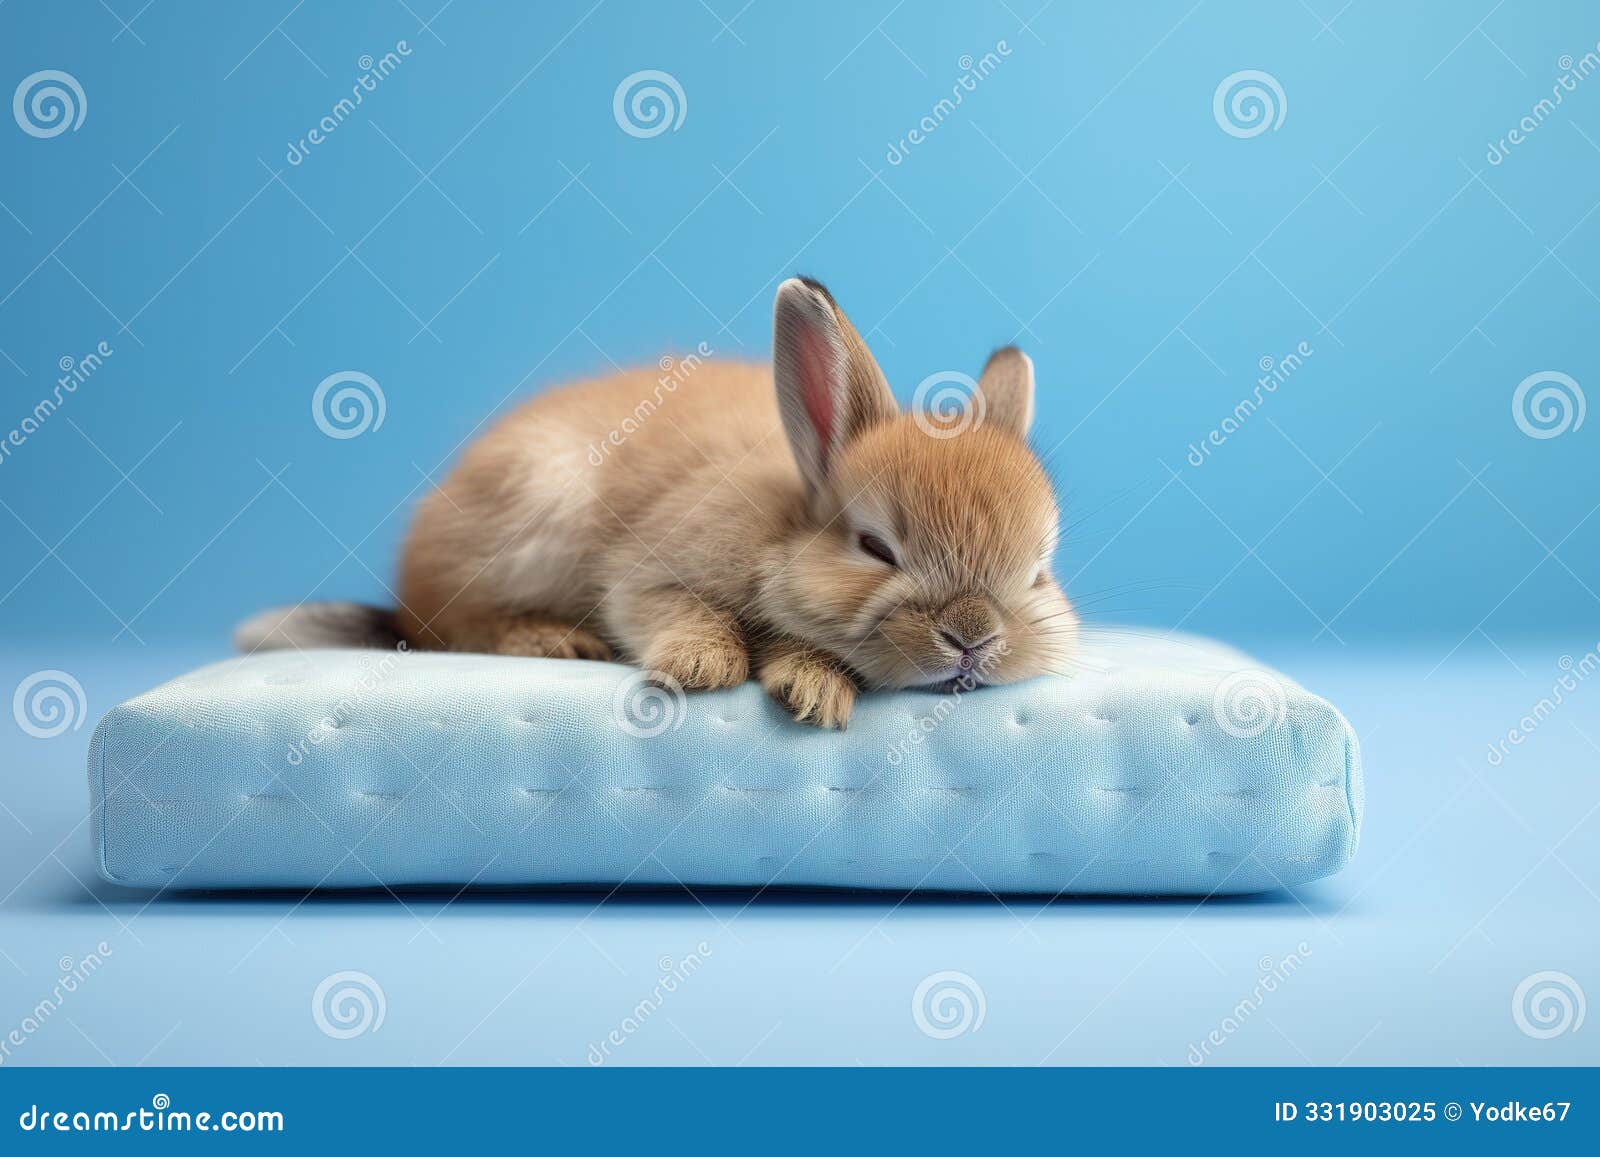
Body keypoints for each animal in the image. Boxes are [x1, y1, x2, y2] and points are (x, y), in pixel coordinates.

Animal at [237, 277, 1078, 728]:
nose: (974, 636)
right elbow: (678, 611)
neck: (786, 523)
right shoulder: (646, 577)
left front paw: (811, 691)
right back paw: (556, 642)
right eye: (875, 548)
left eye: (1038, 570)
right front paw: (702, 667)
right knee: (452, 626)